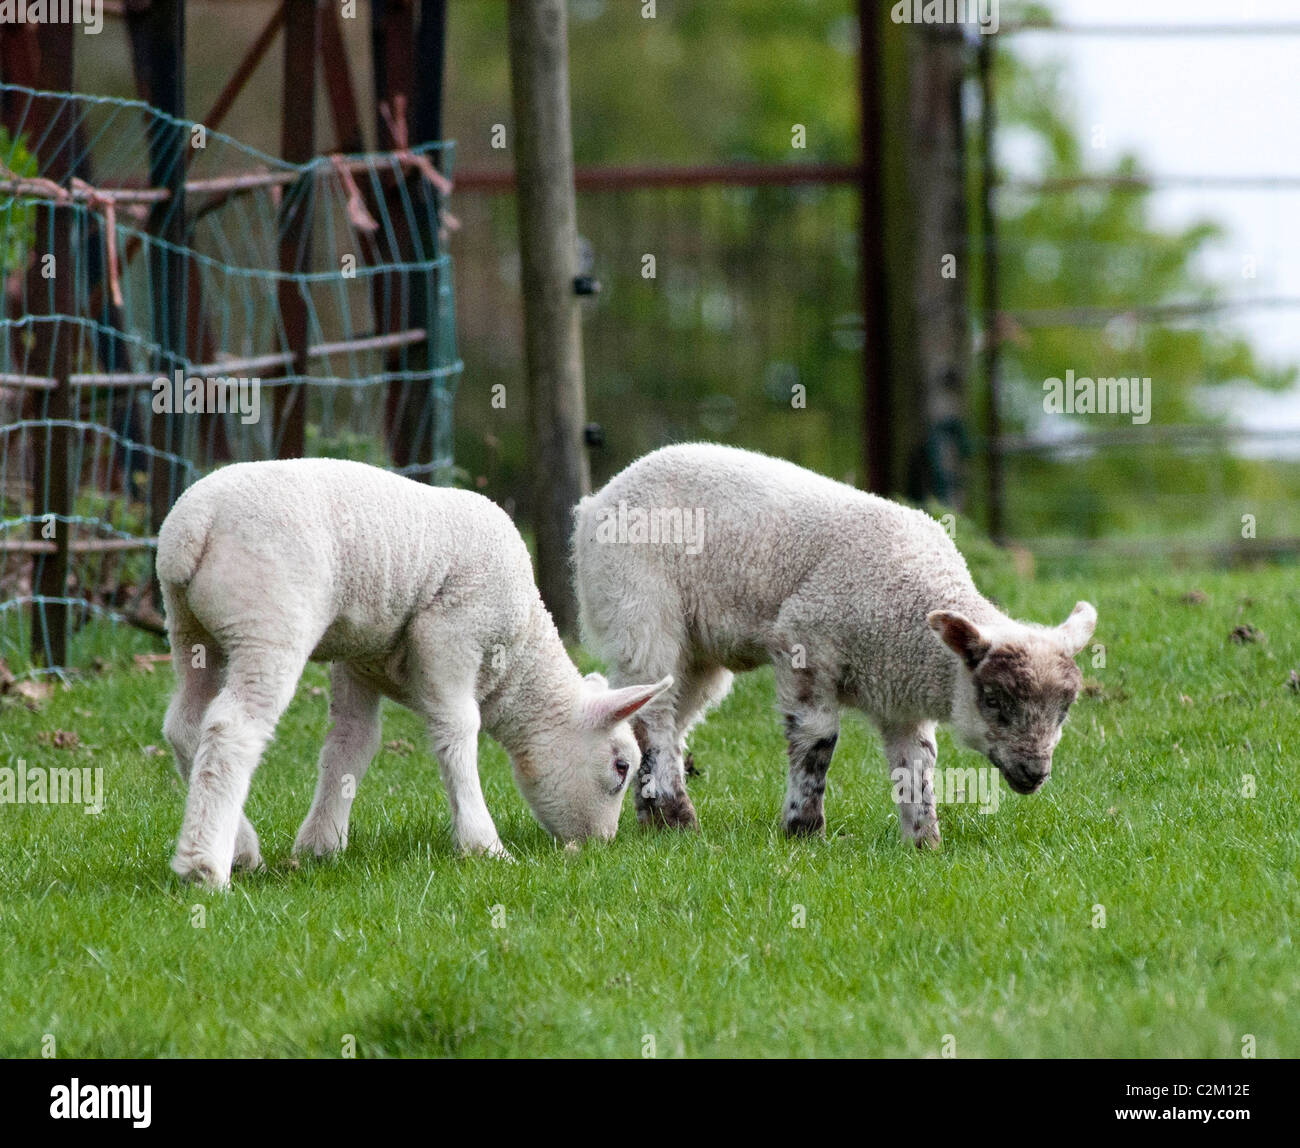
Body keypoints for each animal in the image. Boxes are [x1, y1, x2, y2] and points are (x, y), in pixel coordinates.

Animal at [157, 458, 672, 887]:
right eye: (621, 767)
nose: (599, 845)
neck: (520, 654)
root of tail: (192, 527)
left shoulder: (359, 662)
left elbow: (352, 745)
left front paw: (322, 845)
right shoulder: (452, 631)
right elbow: (458, 730)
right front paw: (484, 845)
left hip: (188, 629)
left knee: (186, 723)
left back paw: (240, 847)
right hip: (268, 620)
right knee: (232, 727)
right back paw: (205, 866)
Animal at [572, 443, 1096, 847]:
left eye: (1065, 710)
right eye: (994, 699)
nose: (1034, 773)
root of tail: (594, 502)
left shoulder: (900, 693)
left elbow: (918, 763)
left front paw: (924, 842)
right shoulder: (806, 644)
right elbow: (818, 741)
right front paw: (804, 831)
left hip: (699, 652)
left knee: (663, 720)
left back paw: (655, 821)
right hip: (638, 609)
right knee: (654, 717)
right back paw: (678, 819)